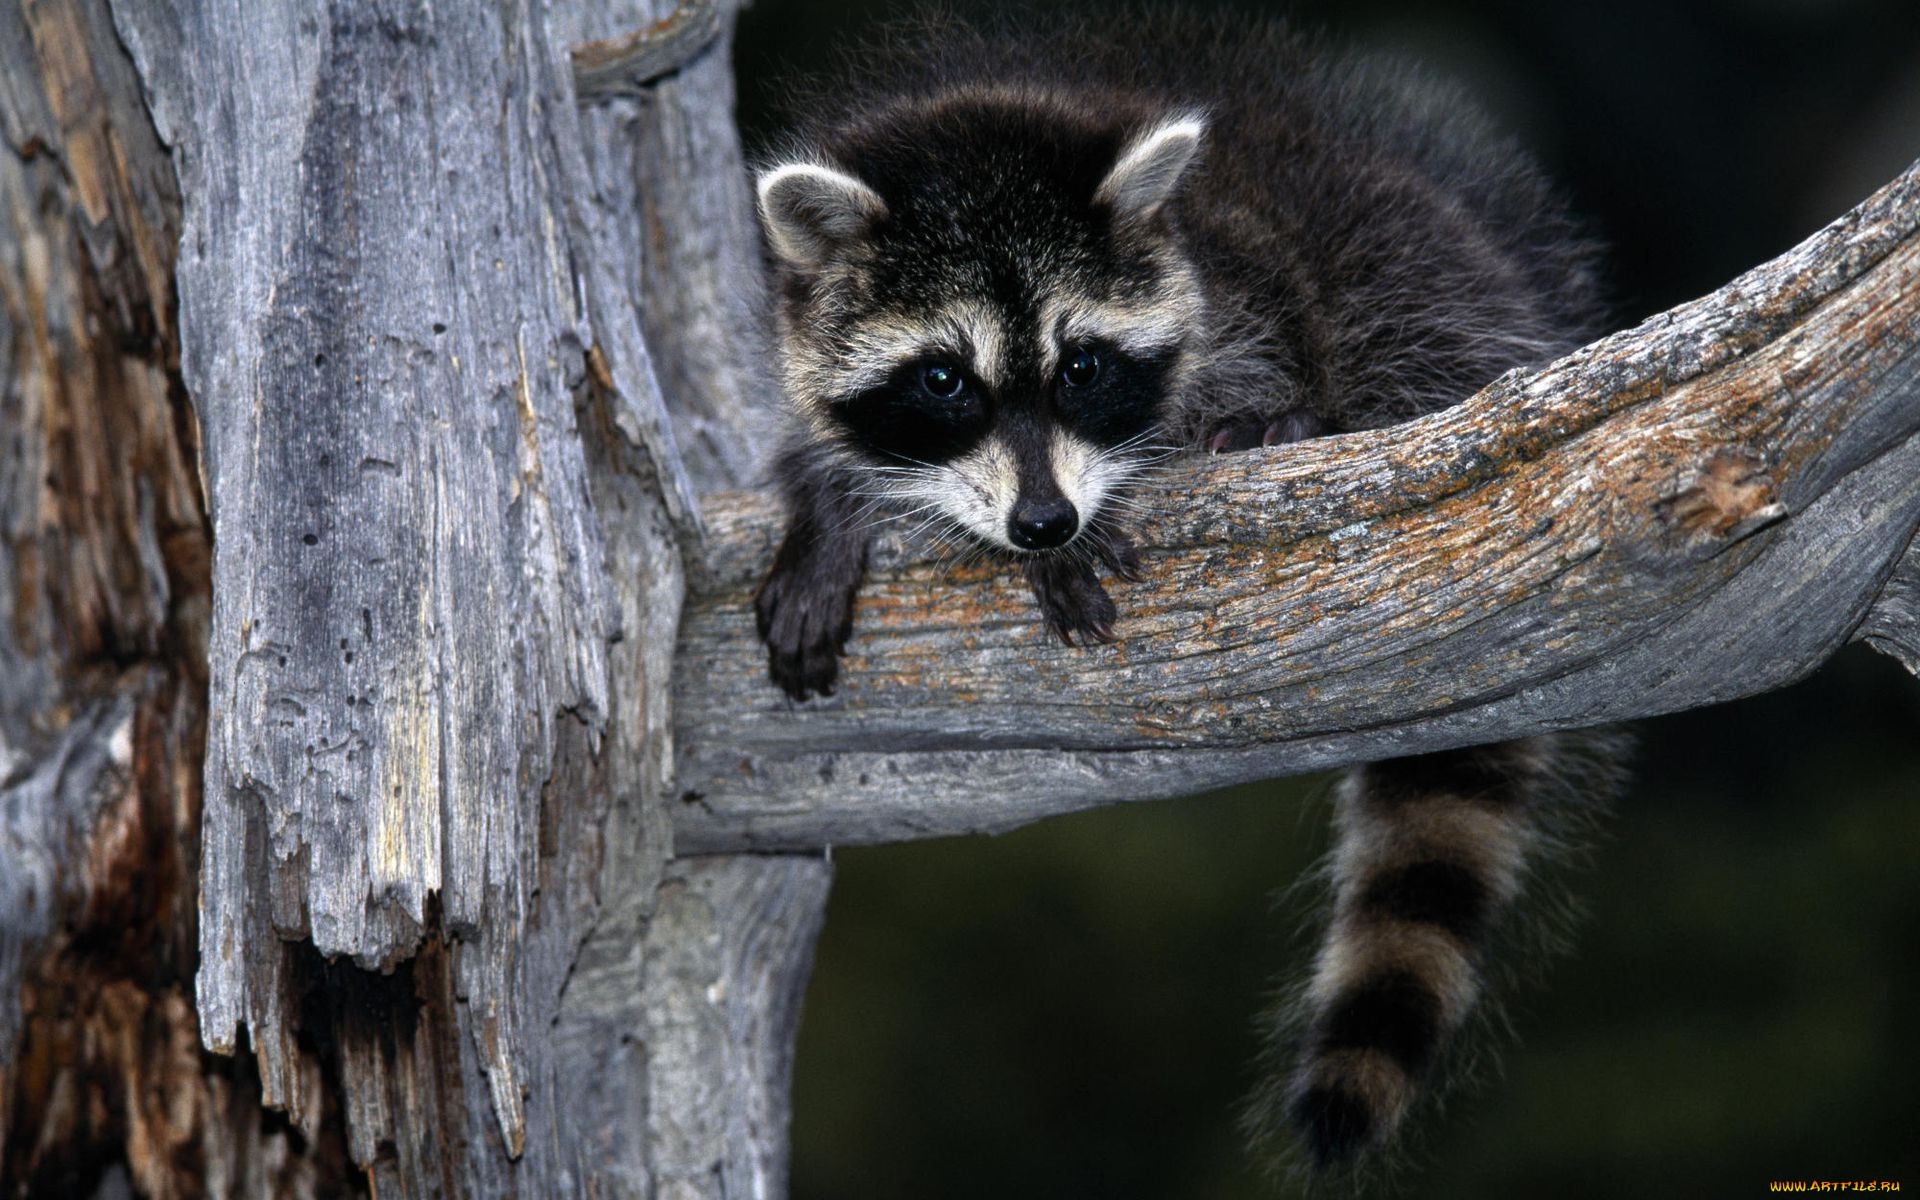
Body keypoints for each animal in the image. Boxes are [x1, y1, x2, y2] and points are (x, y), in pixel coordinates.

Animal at [749, 8, 1623, 1171]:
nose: (1044, 523)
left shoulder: (1246, 285)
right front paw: (828, 500)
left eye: (1081, 366)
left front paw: (1110, 505)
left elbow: (1255, 370)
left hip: (1414, 279)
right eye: (943, 379)